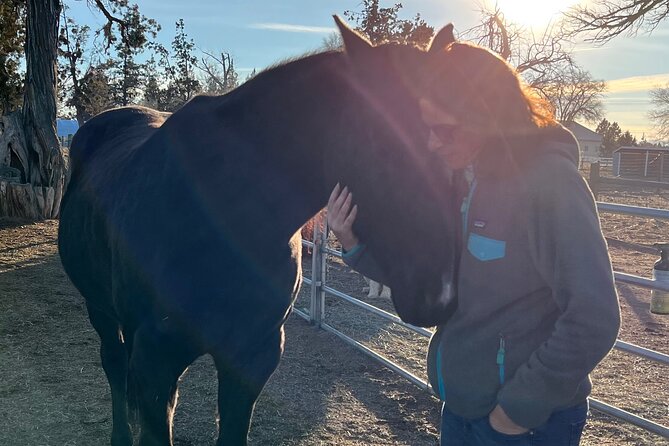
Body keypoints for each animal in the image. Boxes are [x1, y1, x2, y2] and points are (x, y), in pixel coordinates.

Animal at [58, 18, 458, 446]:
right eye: (384, 144)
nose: (438, 295)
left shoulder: (253, 356)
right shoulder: (156, 361)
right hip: (100, 309)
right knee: (114, 365)